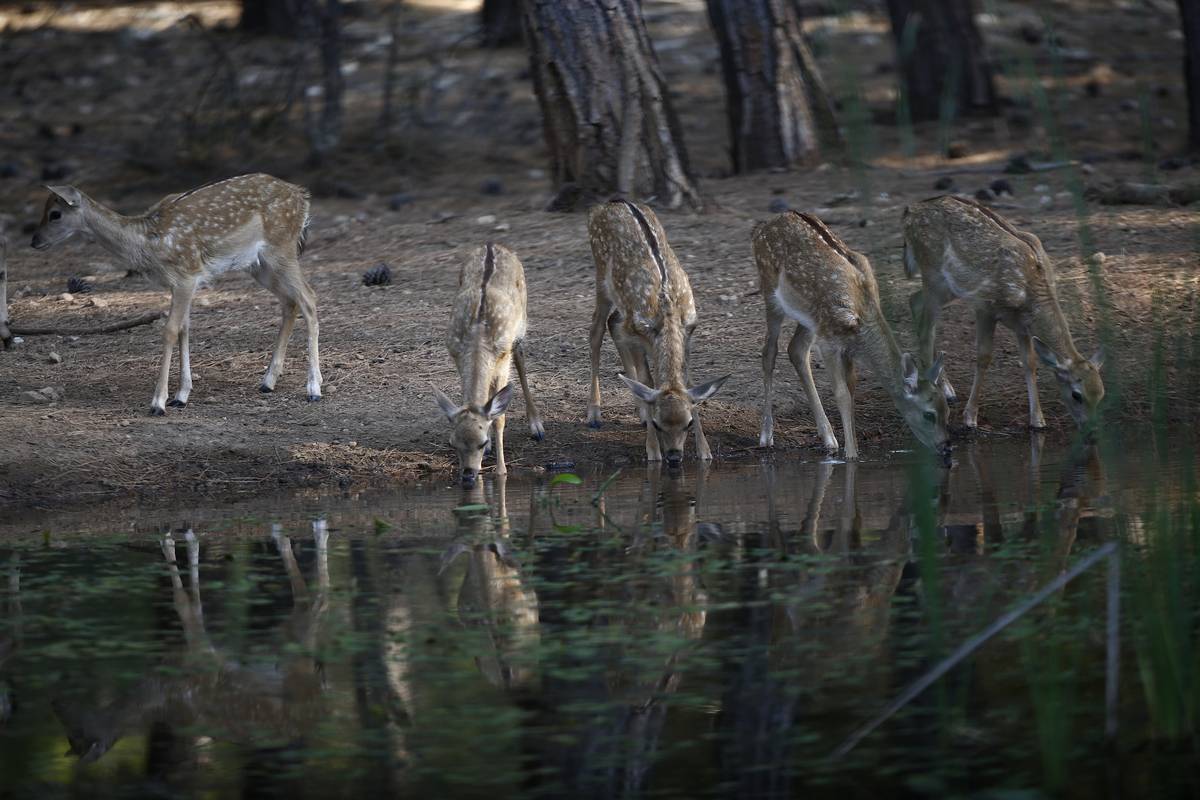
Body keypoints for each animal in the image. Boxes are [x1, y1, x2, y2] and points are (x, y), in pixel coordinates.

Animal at [30, 174, 321, 415]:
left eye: (55, 213)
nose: (34, 241)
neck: (148, 243)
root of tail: (302, 196)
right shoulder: (181, 282)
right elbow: (184, 329)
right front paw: (180, 396)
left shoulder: (186, 276)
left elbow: (170, 330)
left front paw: (158, 402)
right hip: (258, 265)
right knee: (290, 302)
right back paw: (268, 382)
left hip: (281, 249)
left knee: (309, 298)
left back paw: (313, 389)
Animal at [434, 243, 544, 488]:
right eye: (452, 443)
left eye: (481, 442)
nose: (468, 474)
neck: (477, 340)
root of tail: (492, 244)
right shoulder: (456, 356)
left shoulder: (502, 360)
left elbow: (499, 417)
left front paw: (501, 470)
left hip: (520, 327)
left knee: (520, 357)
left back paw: (537, 426)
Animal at [587, 199, 729, 468]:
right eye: (658, 423)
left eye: (688, 423)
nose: (674, 457)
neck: (669, 312)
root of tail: (611, 203)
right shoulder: (639, 331)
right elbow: (647, 380)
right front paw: (652, 452)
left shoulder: (689, 331)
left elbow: (687, 381)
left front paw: (705, 451)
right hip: (601, 274)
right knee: (596, 330)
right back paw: (594, 413)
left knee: (613, 323)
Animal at [753, 211, 950, 461]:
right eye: (928, 414)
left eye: (947, 409)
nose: (946, 447)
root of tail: (762, 228)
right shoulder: (828, 342)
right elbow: (842, 394)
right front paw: (852, 456)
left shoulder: (845, 346)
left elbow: (852, 388)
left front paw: (851, 447)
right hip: (771, 291)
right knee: (769, 351)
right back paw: (766, 435)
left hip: (809, 317)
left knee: (796, 350)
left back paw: (828, 438)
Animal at [902, 195, 1104, 430]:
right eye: (1076, 395)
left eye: (1101, 393)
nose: (1092, 428)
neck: (1028, 295)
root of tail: (909, 212)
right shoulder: (985, 306)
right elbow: (984, 357)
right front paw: (970, 417)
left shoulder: (1022, 325)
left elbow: (1030, 362)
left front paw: (1038, 420)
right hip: (932, 272)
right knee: (927, 330)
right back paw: (937, 390)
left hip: (948, 288)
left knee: (915, 300)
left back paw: (946, 388)